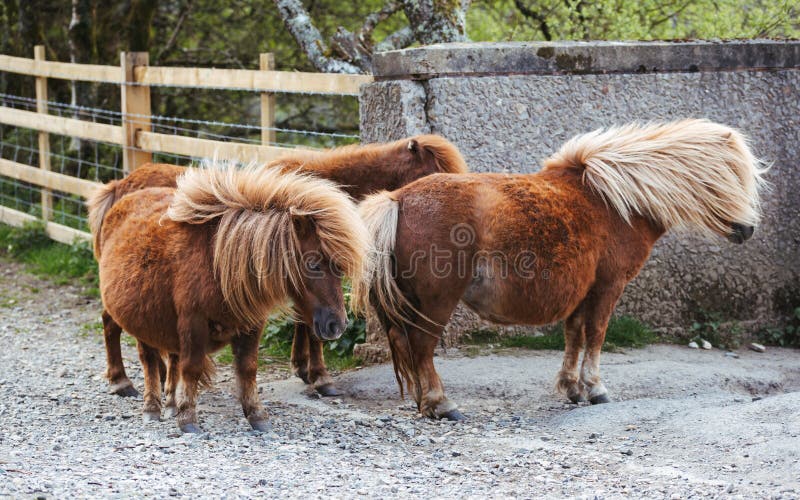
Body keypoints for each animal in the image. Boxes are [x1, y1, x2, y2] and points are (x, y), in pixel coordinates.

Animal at [88, 163, 370, 432]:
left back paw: (168, 403)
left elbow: (247, 368)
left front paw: (257, 416)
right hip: (140, 316)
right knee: (146, 357)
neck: (219, 264)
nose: (337, 325)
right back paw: (142, 399)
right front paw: (188, 419)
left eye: (340, 267)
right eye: (313, 264)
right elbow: (191, 367)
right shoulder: (193, 324)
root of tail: (120, 194)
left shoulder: (252, 324)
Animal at [92, 135, 467, 399]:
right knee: (111, 321)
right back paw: (122, 381)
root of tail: (121, 185)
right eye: (434, 173)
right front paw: (320, 376)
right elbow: (312, 323)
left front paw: (304, 368)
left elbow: (308, 317)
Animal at [353, 119, 765, 421]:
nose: (748, 230)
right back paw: (441, 404)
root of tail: (398, 199)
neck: (615, 201)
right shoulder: (608, 288)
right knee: (421, 347)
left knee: (406, 346)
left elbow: (575, 336)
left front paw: (572, 388)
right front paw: (595, 388)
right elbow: (596, 336)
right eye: (734, 176)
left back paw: (423, 401)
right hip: (437, 303)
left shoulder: (583, 292)